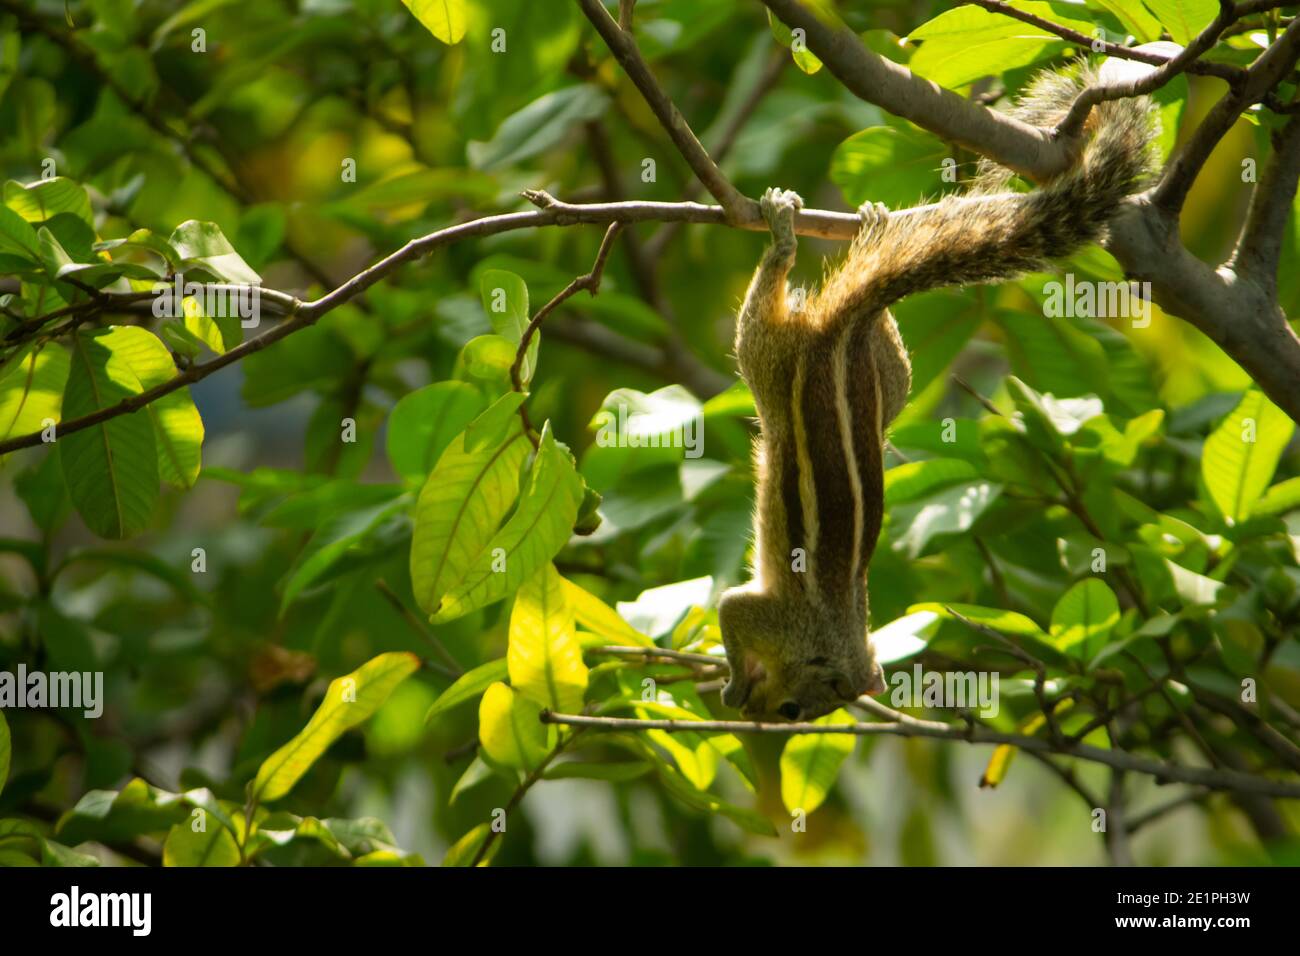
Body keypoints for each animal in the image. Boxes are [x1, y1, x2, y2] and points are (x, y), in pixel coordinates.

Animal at [718, 65, 1157, 722]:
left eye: (794, 712)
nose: (754, 716)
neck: (834, 633)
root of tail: (842, 328)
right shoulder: (772, 614)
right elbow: (728, 608)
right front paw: (733, 683)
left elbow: (729, 609)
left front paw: (736, 685)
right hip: (770, 358)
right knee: (767, 297)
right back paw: (784, 233)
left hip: (874, 377)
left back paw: (868, 229)